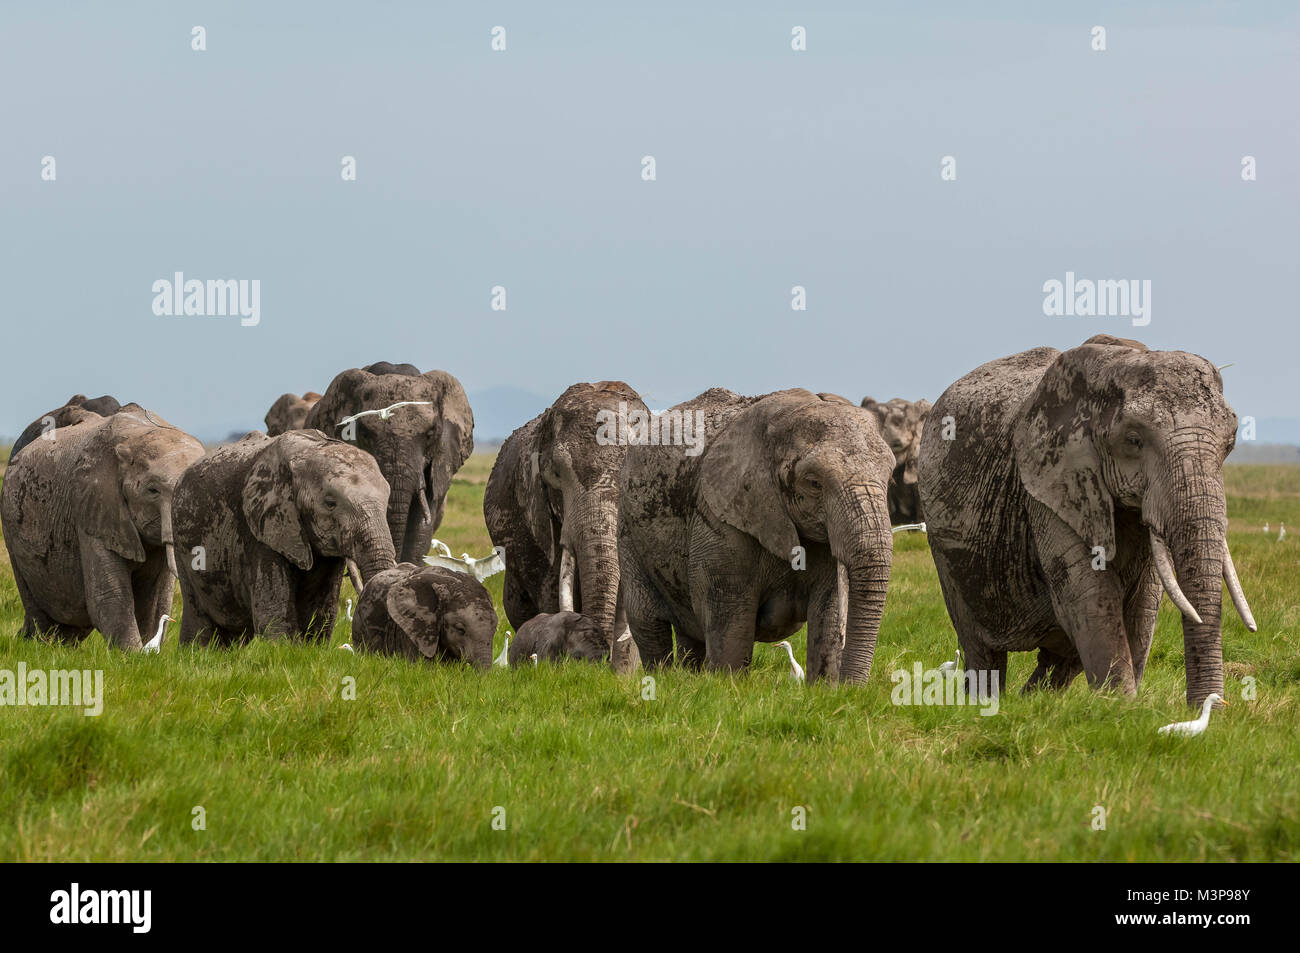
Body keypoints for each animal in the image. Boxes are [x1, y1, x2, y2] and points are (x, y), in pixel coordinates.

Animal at [0, 402, 204, 649]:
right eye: (153, 490)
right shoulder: (92, 506)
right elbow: (109, 595)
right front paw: (134, 654)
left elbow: (155, 601)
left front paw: (148, 651)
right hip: (11, 525)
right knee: (38, 608)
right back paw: (34, 643)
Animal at [172, 429, 397, 646]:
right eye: (330, 503)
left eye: (387, 499)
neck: (311, 448)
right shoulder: (261, 529)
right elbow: (273, 613)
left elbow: (320, 612)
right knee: (198, 620)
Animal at [617, 388, 896, 682]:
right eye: (813, 483)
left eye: (890, 479)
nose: (852, 687)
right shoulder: (719, 517)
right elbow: (730, 619)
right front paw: (726, 684)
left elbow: (828, 612)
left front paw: (825, 687)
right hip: (628, 529)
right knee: (648, 622)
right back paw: (660, 679)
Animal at [918, 334, 1256, 707]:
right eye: (1134, 440)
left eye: (1230, 444)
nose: (1215, 708)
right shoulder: (1051, 486)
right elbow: (1091, 597)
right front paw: (1123, 707)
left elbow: (1143, 606)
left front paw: (1124, 706)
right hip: (945, 550)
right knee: (982, 648)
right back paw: (986, 703)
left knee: (1060, 658)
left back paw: (1034, 701)